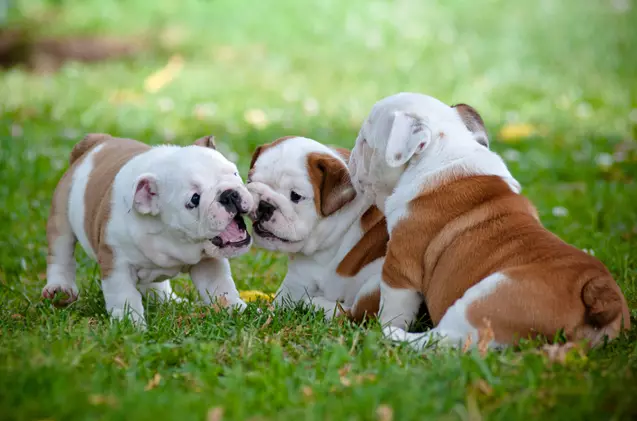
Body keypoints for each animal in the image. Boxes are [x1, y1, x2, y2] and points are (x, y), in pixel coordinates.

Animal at [42, 133, 253, 326]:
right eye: (195, 199)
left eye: (234, 174)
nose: (229, 194)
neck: (172, 238)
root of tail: (96, 141)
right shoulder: (117, 263)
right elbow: (124, 297)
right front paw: (131, 325)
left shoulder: (209, 263)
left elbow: (221, 287)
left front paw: (238, 310)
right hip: (61, 215)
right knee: (61, 254)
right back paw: (60, 288)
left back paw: (172, 301)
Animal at [247, 136, 388, 320]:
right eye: (249, 182)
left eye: (296, 196)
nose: (264, 205)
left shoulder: (299, 277)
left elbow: (279, 301)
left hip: (373, 287)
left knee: (353, 315)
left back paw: (315, 304)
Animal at [348, 93, 632, 350]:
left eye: (364, 143)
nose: (351, 154)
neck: (444, 154)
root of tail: (597, 291)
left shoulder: (400, 267)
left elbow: (393, 307)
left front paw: (385, 325)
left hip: (484, 299)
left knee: (446, 339)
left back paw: (391, 336)